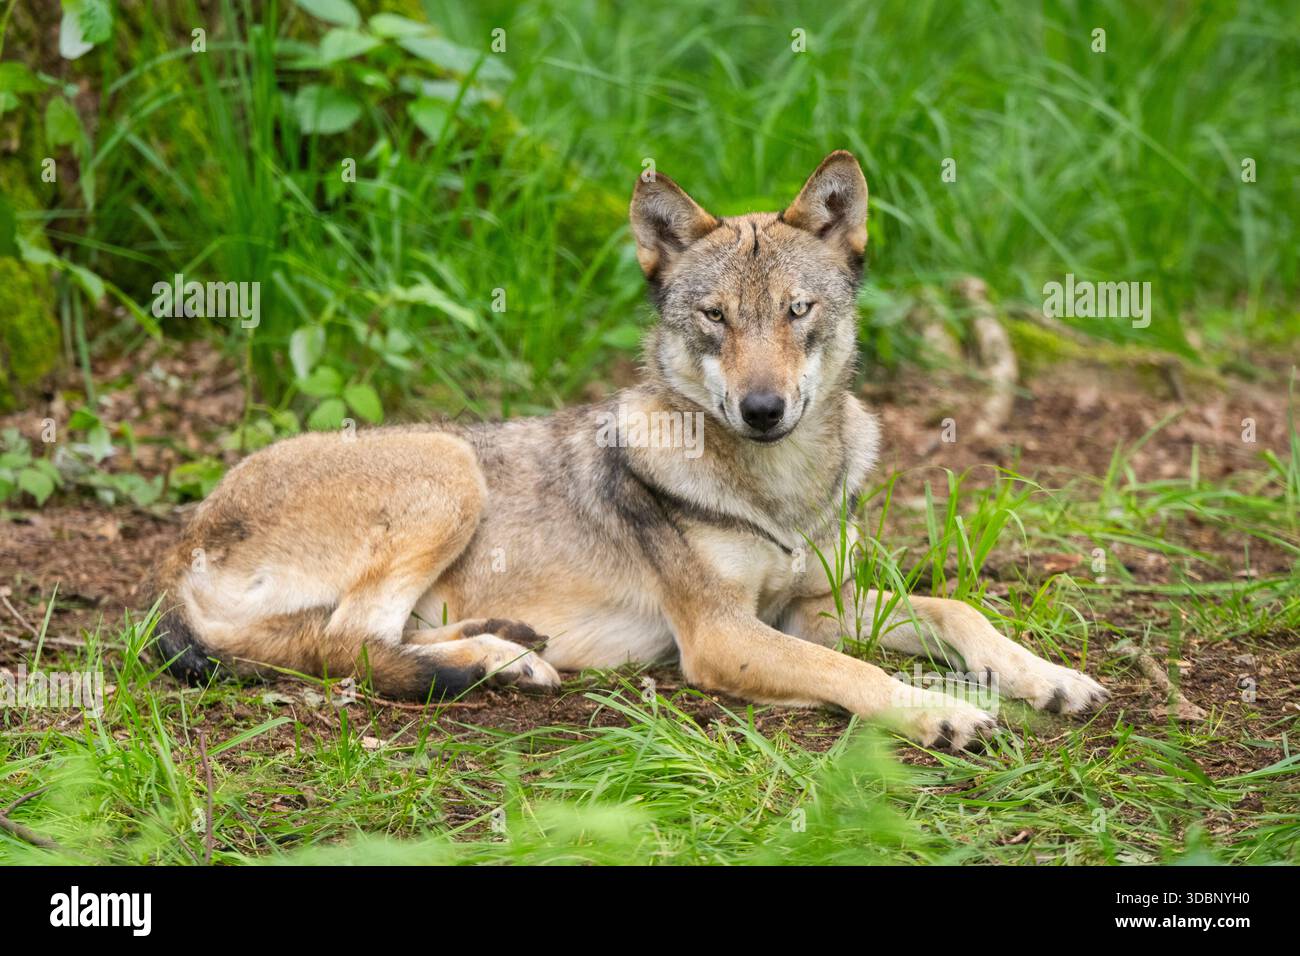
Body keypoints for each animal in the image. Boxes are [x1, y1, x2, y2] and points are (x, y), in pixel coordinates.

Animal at [152, 151, 1107, 750]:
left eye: (796, 311)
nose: (764, 408)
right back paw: (500, 661)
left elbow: (956, 610)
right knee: (352, 642)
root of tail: (182, 544)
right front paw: (934, 711)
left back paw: (511, 649)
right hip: (448, 465)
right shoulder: (723, 636)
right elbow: (851, 671)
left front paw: (1049, 678)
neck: (778, 489)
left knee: (366, 638)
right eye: (715, 317)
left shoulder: (804, 605)